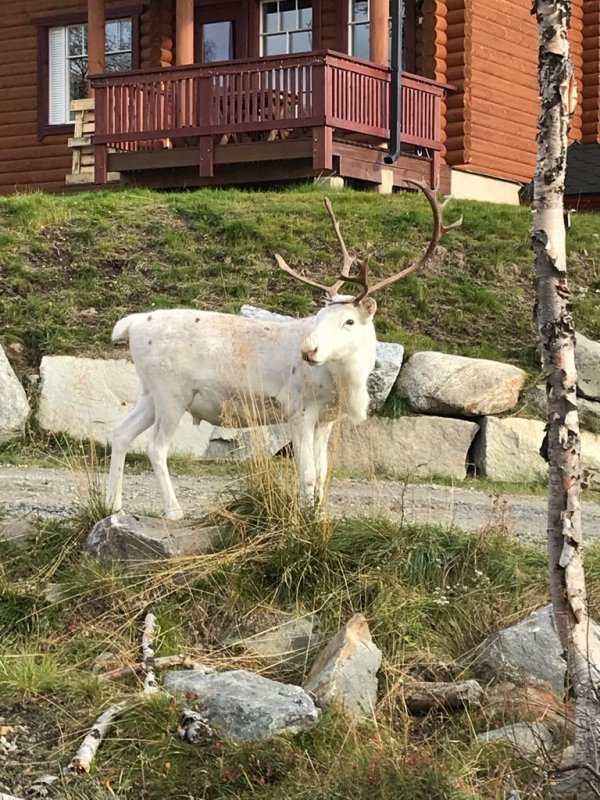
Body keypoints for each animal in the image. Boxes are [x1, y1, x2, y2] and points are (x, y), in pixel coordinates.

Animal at [106, 182, 461, 520]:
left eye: (348, 320)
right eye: (319, 316)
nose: (308, 349)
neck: (343, 385)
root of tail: (131, 325)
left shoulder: (327, 419)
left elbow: (322, 472)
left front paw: (319, 514)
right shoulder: (299, 408)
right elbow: (306, 472)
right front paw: (304, 518)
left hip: (150, 392)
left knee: (120, 433)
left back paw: (113, 504)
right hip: (172, 392)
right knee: (155, 446)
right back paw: (173, 510)